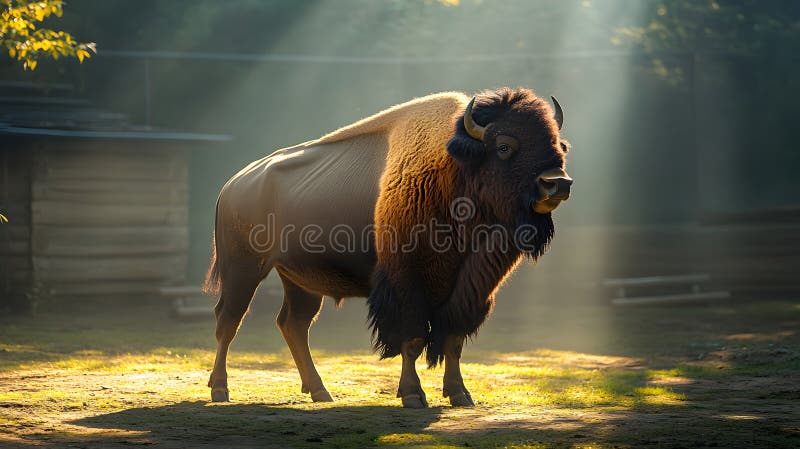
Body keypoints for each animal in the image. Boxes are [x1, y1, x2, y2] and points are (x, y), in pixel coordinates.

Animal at [204, 87, 572, 407]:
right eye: (505, 146)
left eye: (559, 145)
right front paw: (412, 395)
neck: (453, 169)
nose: (558, 184)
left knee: (293, 324)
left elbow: (453, 341)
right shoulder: (406, 282)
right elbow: (412, 339)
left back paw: (320, 392)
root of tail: (232, 185)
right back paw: (220, 390)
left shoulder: (470, 289)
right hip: (244, 269)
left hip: (298, 279)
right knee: (229, 320)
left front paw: (460, 395)